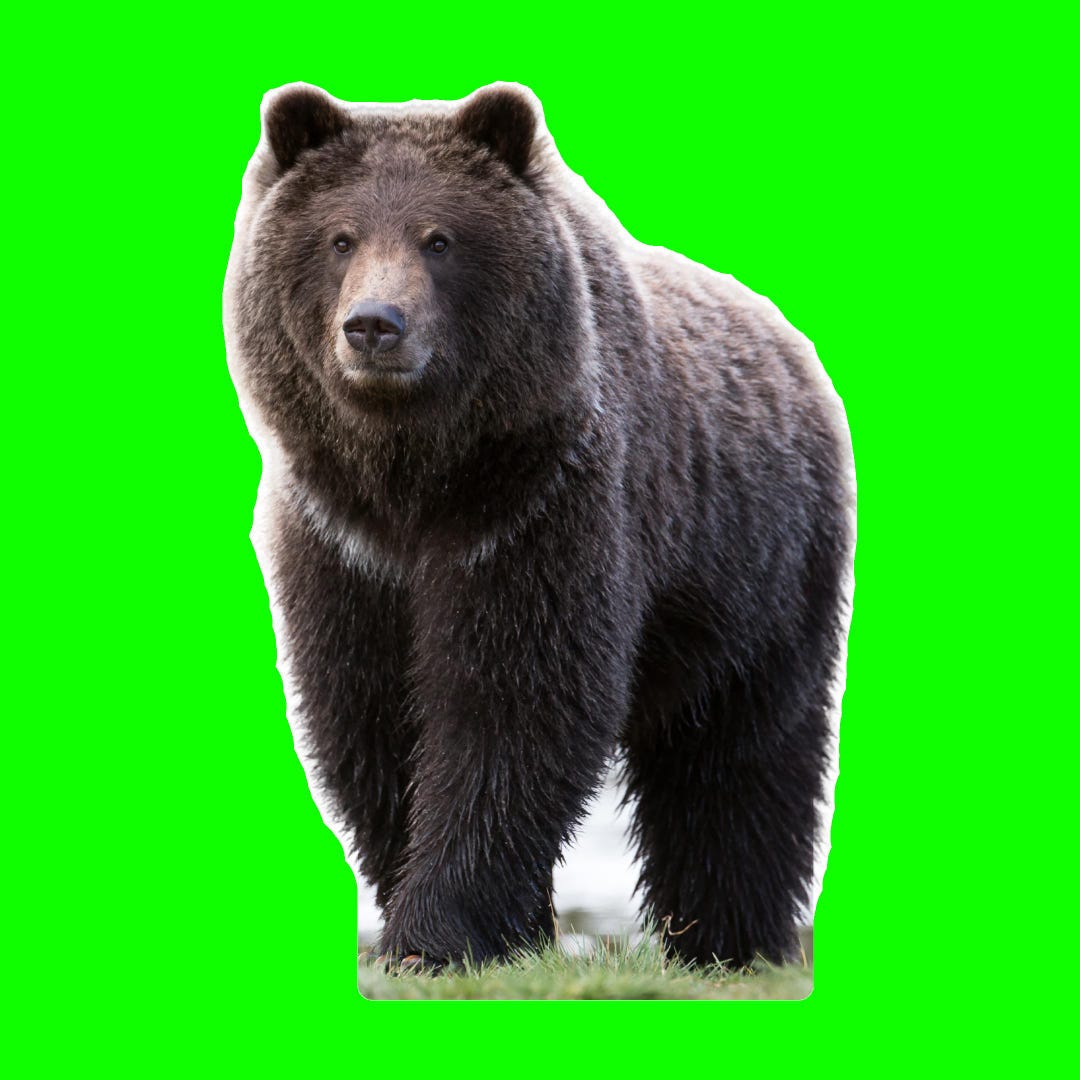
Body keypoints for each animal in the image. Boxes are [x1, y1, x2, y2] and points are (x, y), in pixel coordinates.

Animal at [223, 82, 855, 972]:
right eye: (340, 237)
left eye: (439, 238)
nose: (374, 324)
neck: (416, 479)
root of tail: (794, 344)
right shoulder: (342, 543)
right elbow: (370, 714)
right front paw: (483, 927)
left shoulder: (539, 508)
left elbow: (514, 706)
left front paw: (440, 931)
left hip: (759, 567)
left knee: (738, 758)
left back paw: (727, 939)